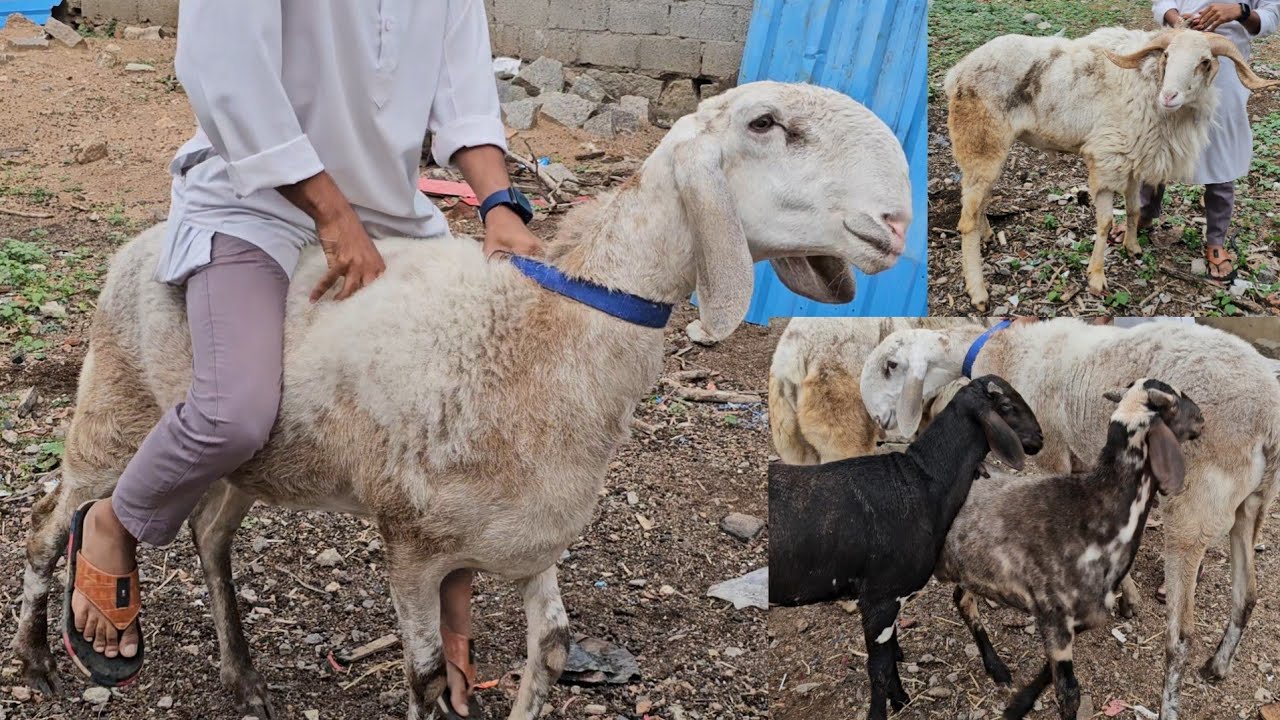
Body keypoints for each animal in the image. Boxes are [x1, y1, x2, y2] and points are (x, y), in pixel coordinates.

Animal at [11, 82, 915, 720]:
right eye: (765, 124)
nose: (897, 223)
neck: (540, 330)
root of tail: (137, 242)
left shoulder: (534, 532)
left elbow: (549, 651)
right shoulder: (409, 542)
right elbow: (421, 676)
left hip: (252, 451)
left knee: (207, 533)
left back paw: (242, 677)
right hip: (118, 406)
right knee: (54, 517)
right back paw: (41, 659)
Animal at [768, 375, 1043, 720]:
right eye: (1006, 406)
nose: (1040, 438)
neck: (921, 483)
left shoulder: (893, 598)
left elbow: (888, 659)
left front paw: (900, 698)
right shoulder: (879, 599)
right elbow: (878, 669)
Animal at [938, 379, 1204, 719]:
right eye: (1172, 402)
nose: (1201, 418)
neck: (1095, 510)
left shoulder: (1082, 618)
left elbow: (1047, 675)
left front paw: (1018, 704)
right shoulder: (1054, 615)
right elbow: (1069, 693)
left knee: (962, 598)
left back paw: (996, 667)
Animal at [945, 28, 1280, 310]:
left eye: (1205, 62)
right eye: (1167, 56)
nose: (1169, 96)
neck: (1147, 85)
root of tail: (957, 73)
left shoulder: (1133, 160)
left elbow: (1133, 209)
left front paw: (1133, 248)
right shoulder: (1107, 157)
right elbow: (1105, 222)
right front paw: (1096, 277)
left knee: (977, 202)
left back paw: (988, 236)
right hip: (981, 143)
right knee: (966, 221)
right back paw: (978, 292)